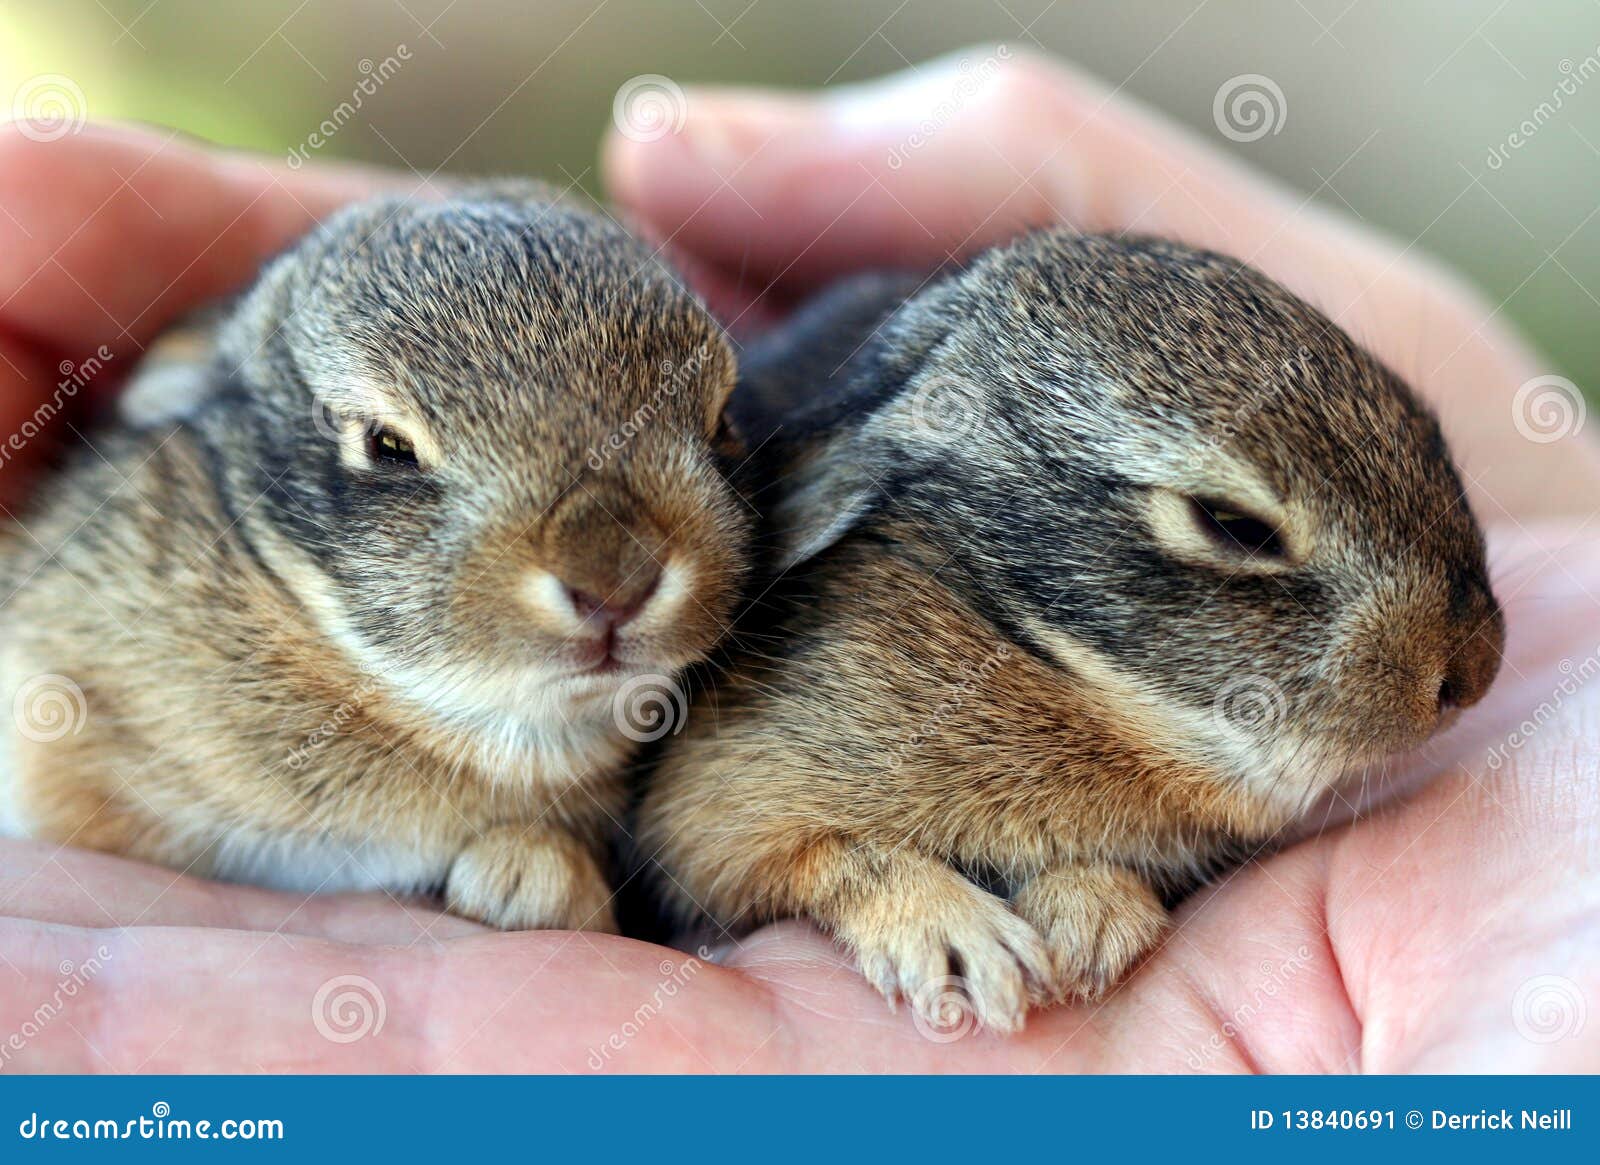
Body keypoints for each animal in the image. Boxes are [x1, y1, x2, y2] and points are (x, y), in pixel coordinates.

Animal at [637, 230, 1504, 1031]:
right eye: (1232, 524)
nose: (1476, 666)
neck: (1058, 668)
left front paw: (1092, 920)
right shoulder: (717, 817)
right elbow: (836, 856)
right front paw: (965, 945)